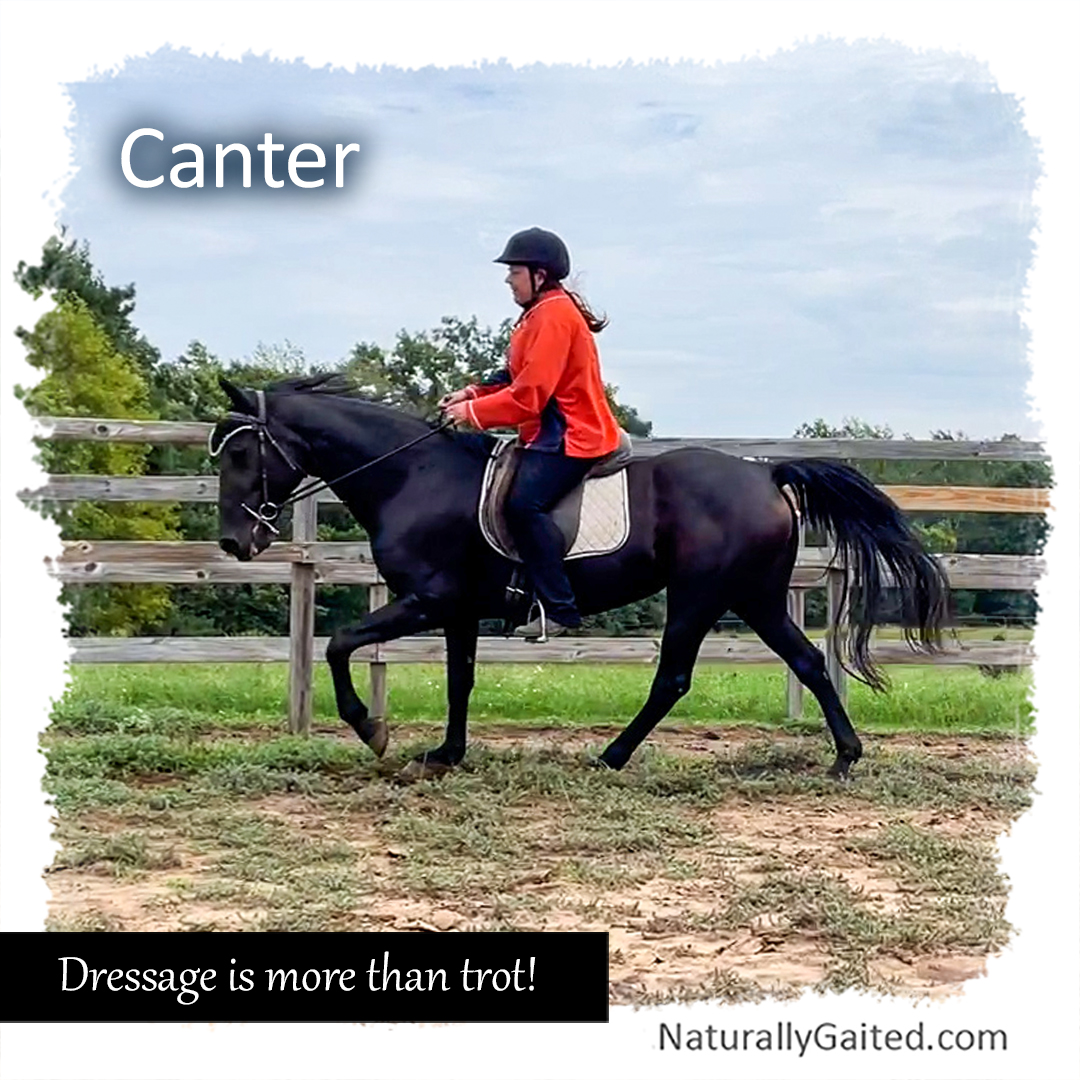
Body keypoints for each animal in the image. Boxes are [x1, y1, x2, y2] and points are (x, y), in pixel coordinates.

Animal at [212, 375, 948, 781]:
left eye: (244, 453)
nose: (234, 541)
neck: (412, 476)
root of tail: (766, 475)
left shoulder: (429, 599)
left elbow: (339, 643)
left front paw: (372, 729)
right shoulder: (457, 610)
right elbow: (458, 681)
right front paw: (446, 754)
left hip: (702, 596)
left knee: (674, 678)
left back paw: (612, 756)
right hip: (757, 597)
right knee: (809, 662)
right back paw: (845, 756)